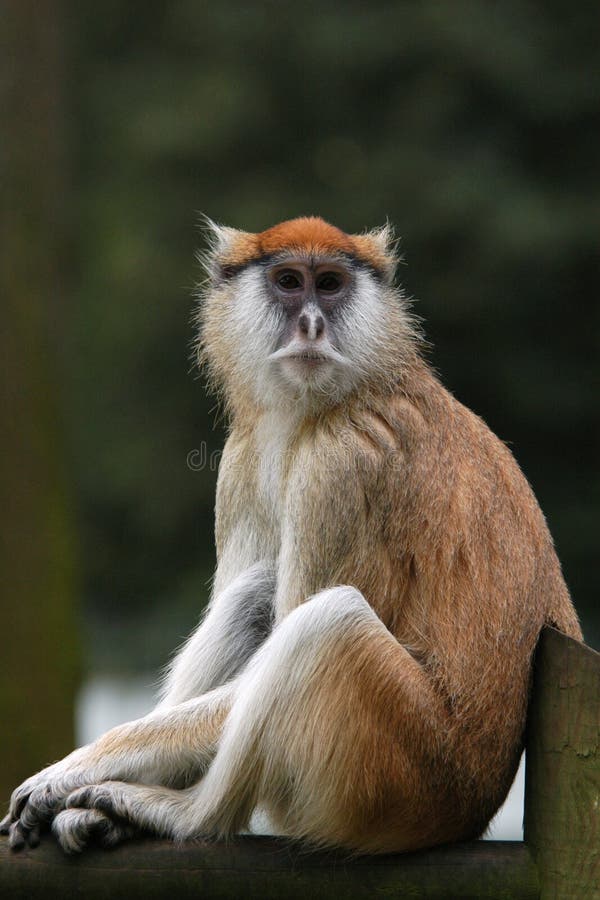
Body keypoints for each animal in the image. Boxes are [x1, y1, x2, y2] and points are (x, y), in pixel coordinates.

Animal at [1, 216, 582, 855]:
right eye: (288, 281)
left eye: (328, 284)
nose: (311, 323)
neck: (337, 397)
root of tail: (473, 810)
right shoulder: (241, 455)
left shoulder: (342, 466)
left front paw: (69, 770)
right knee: (261, 590)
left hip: (400, 771)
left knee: (328, 622)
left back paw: (188, 814)